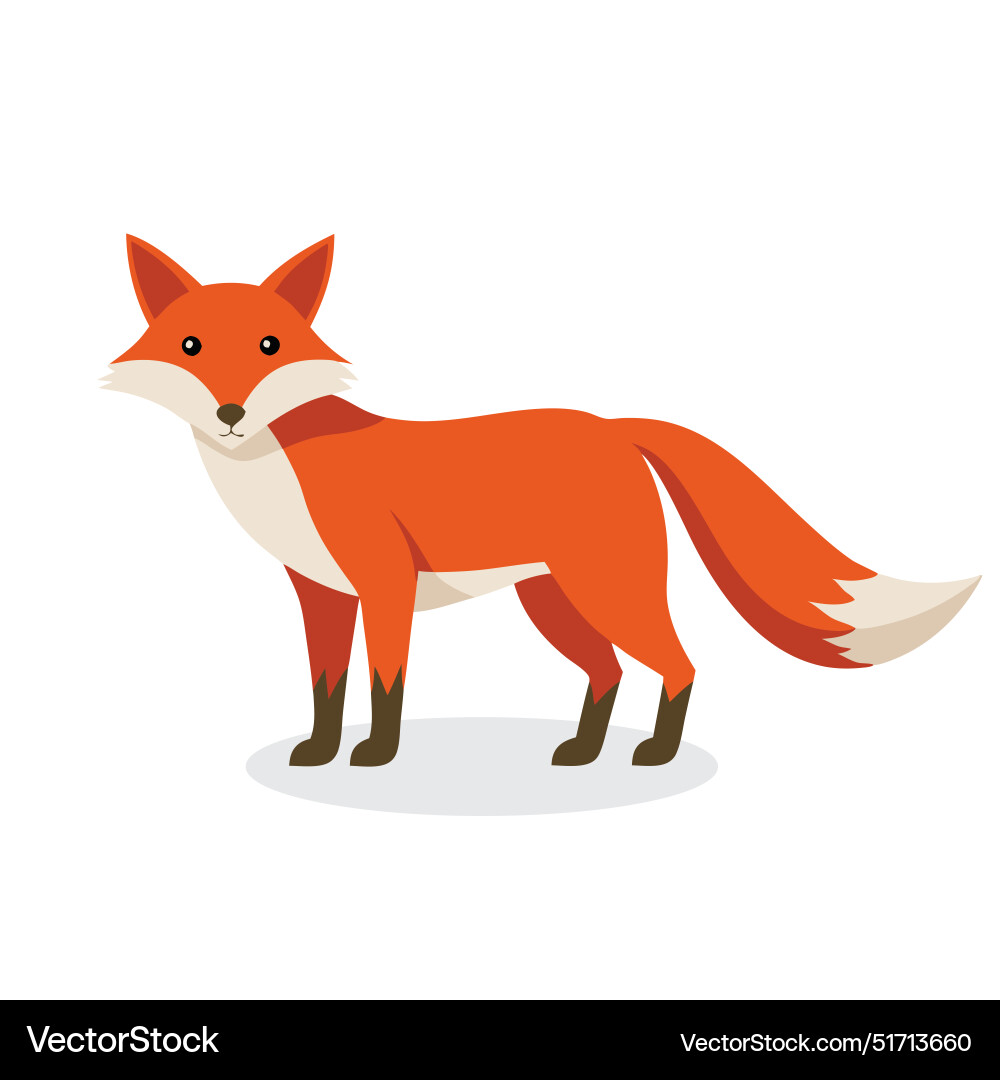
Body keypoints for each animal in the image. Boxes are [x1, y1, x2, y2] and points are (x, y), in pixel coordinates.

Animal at [106, 234, 981, 768]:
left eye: (269, 347)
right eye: (190, 347)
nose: (230, 411)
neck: (279, 469)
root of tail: (614, 428)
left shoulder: (384, 583)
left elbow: (385, 684)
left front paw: (376, 756)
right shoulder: (321, 592)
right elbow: (326, 687)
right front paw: (322, 752)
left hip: (609, 589)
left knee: (679, 664)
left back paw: (654, 753)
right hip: (555, 601)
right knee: (609, 673)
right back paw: (583, 752)